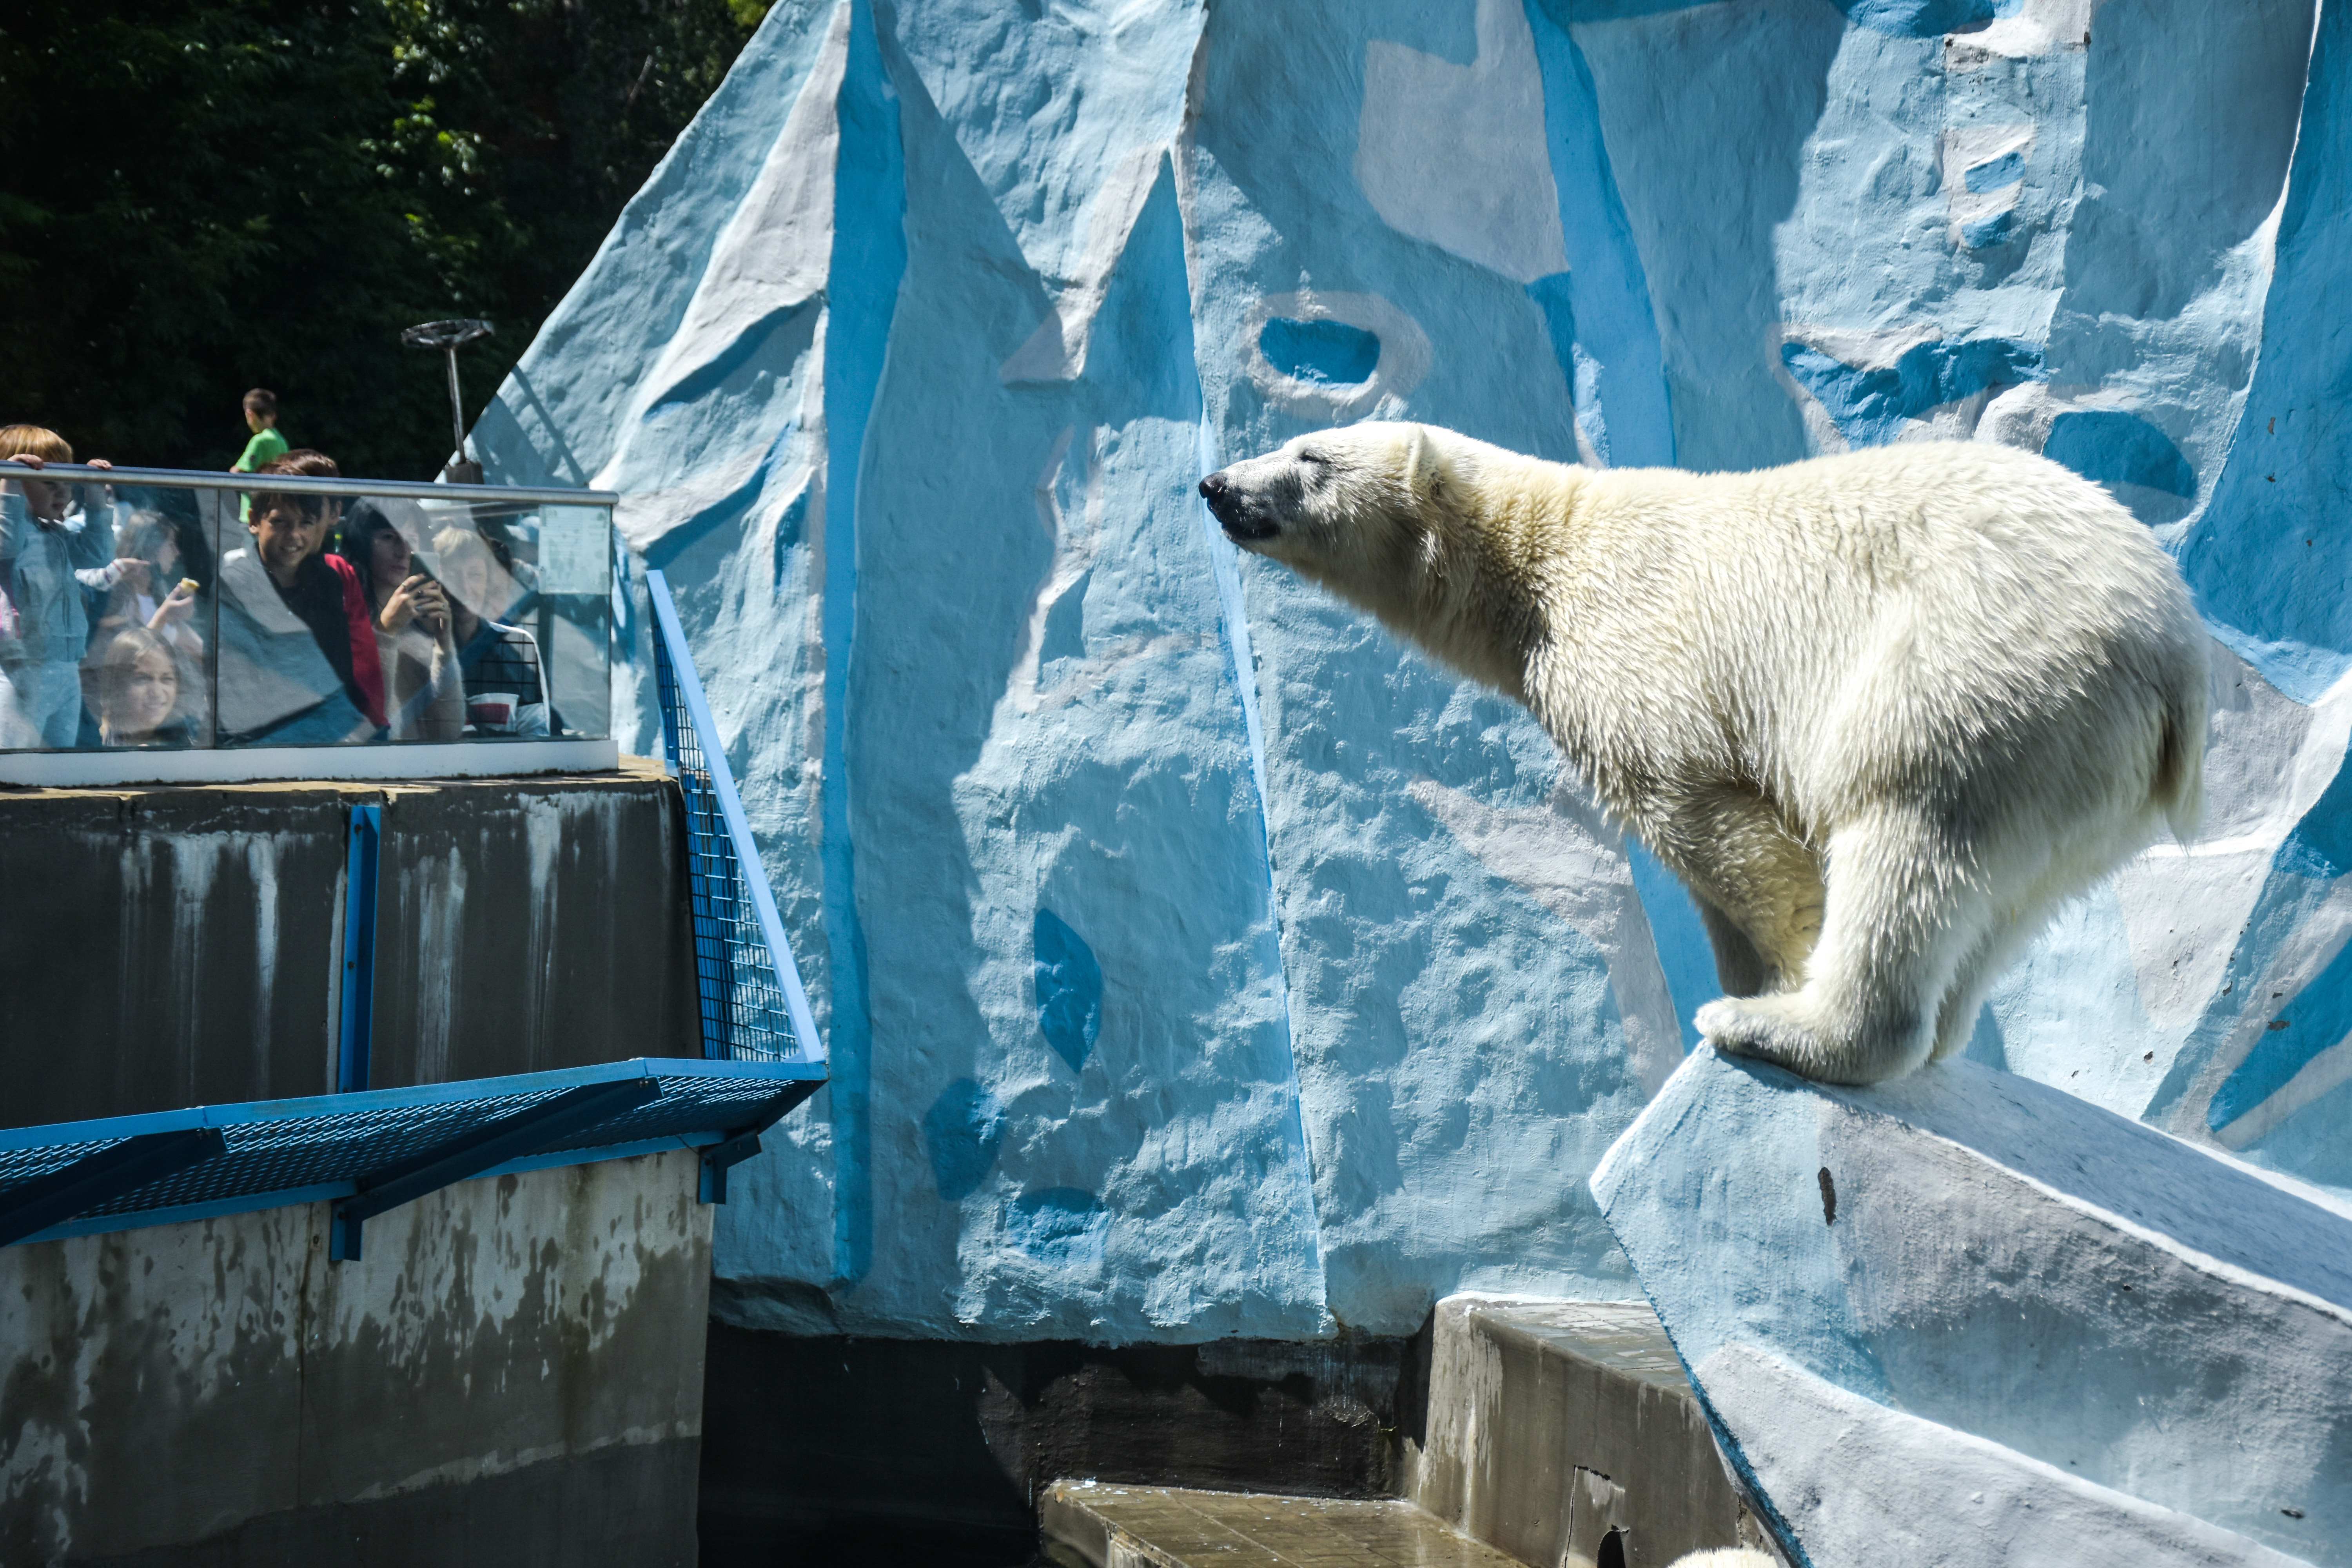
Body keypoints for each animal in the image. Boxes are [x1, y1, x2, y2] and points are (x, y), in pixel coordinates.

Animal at [1204, 430, 2211, 1091]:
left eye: (1309, 456)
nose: (1215, 484)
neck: (1541, 551)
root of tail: (2174, 657)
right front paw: (1753, 975)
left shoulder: (1636, 658)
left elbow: (1708, 821)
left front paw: (1774, 980)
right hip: (2079, 776)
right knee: (2009, 904)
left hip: (1976, 669)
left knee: (1903, 828)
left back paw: (1790, 1030)